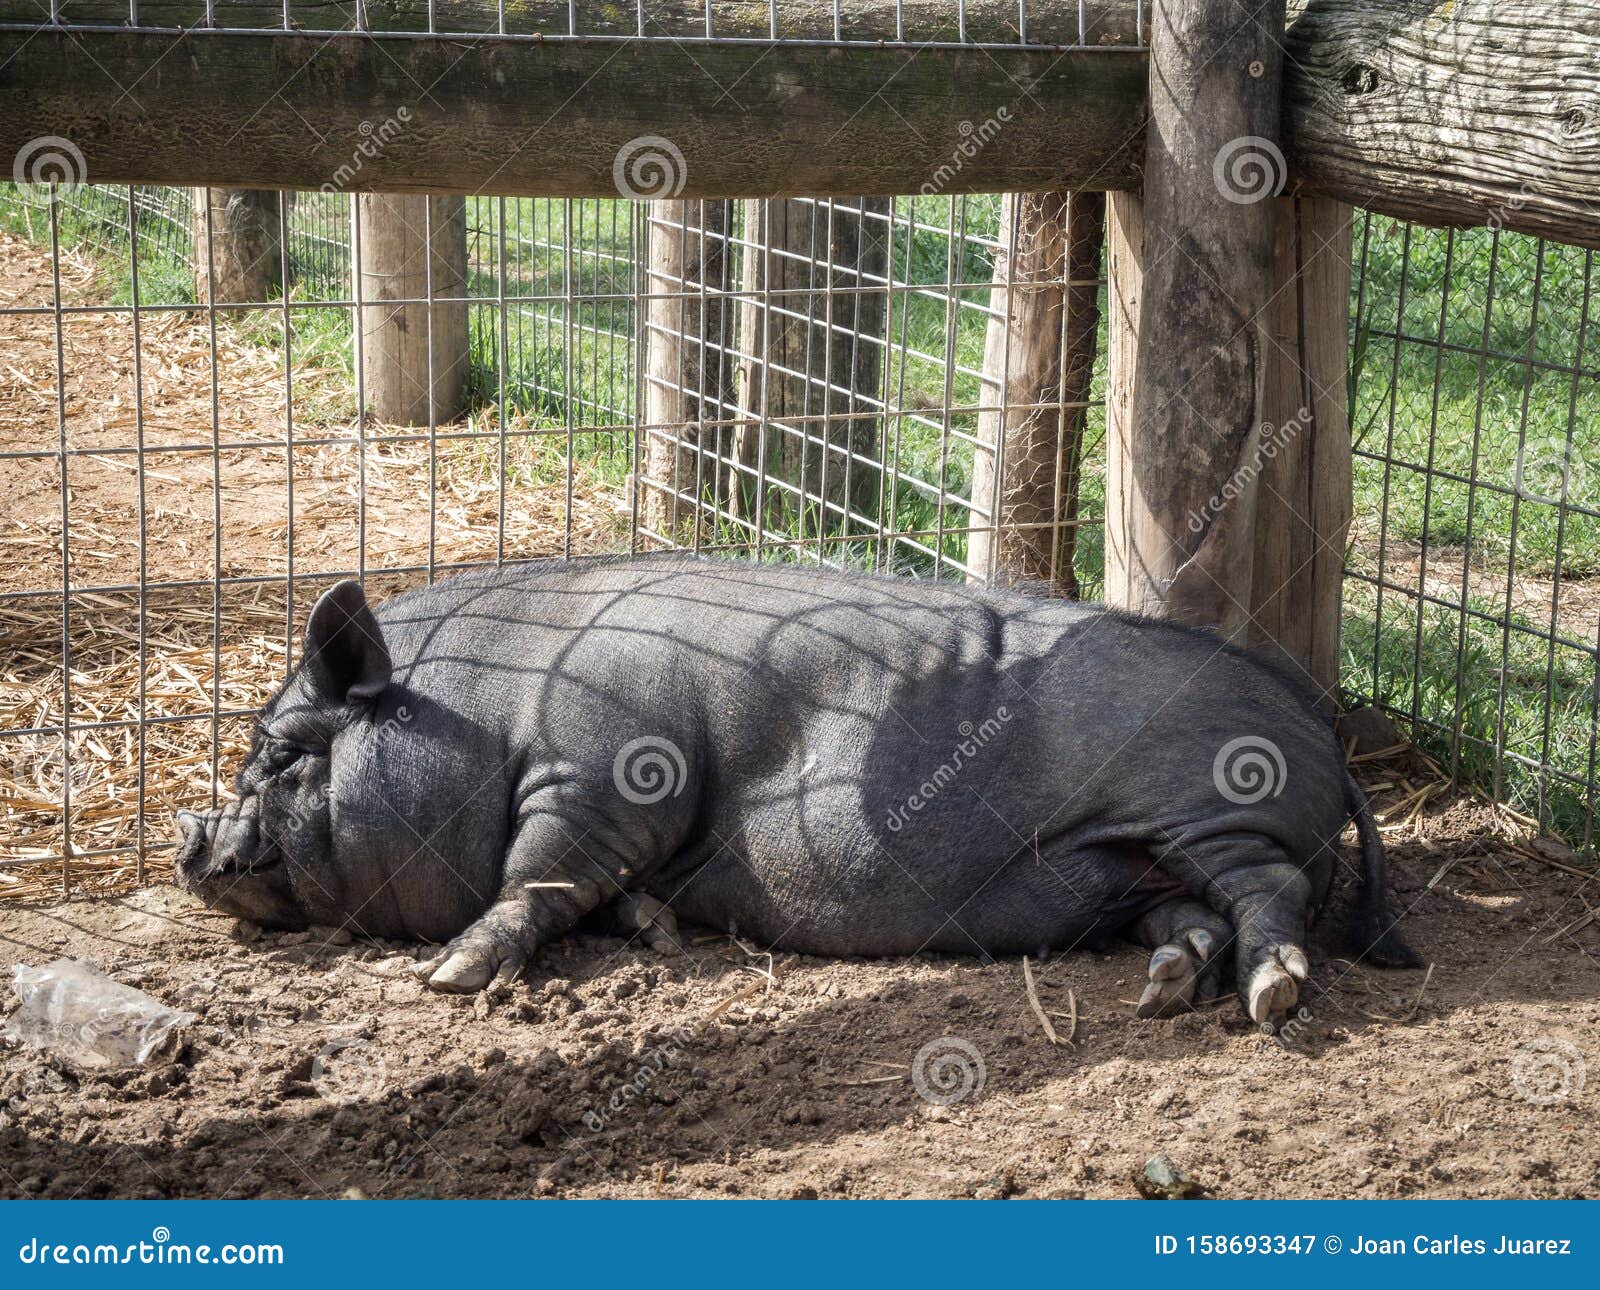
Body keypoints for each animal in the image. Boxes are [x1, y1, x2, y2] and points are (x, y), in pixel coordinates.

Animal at [176, 556, 1419, 1027]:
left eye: (282, 752)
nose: (191, 842)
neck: (487, 716)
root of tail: (1320, 727)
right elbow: (600, 893)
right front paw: (657, 932)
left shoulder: (605, 772)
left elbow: (539, 877)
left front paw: (448, 976)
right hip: (1131, 868)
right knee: (1191, 918)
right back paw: (1162, 994)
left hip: (1216, 809)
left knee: (1265, 894)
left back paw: (1272, 999)